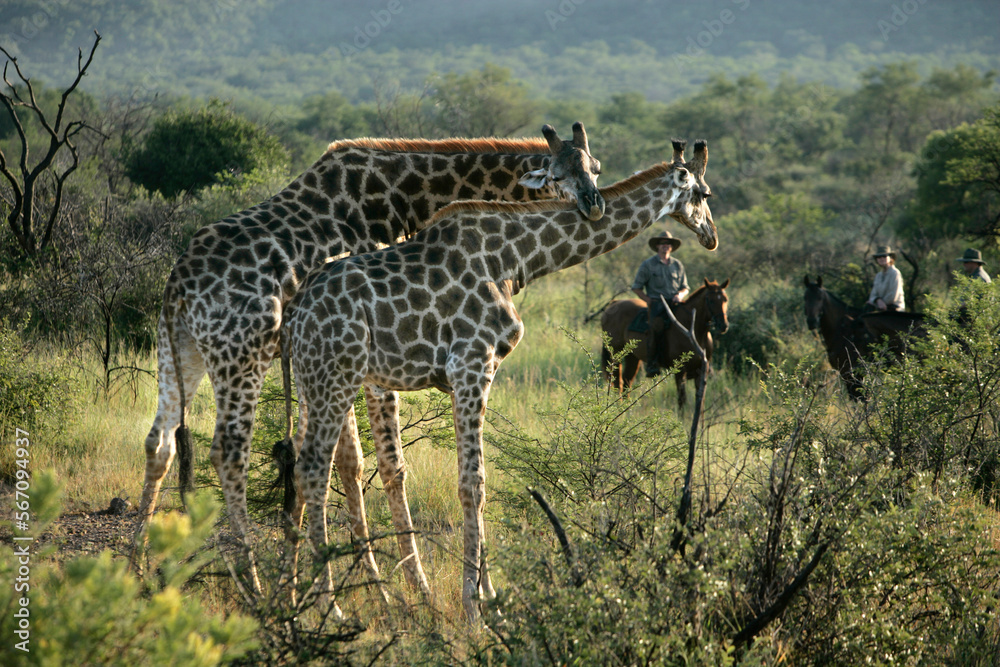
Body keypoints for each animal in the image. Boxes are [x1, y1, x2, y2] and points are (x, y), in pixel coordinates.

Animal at [132, 124, 606, 594]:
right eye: (556, 175)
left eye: (596, 167)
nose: (593, 203)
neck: (407, 199)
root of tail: (177, 284)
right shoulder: (372, 357)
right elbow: (389, 466)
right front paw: (415, 586)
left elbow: (348, 463)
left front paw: (357, 577)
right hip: (242, 353)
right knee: (229, 451)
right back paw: (254, 584)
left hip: (181, 351)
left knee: (159, 442)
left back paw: (137, 568)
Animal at [284, 139, 715, 621]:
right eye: (703, 194)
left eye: (597, 168)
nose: (710, 234)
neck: (512, 258)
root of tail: (295, 314)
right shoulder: (471, 365)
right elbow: (472, 483)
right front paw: (473, 603)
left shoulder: (479, 371)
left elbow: (482, 481)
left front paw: (487, 593)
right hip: (335, 377)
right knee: (313, 469)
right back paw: (331, 608)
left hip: (313, 382)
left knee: (302, 467)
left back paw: (295, 597)